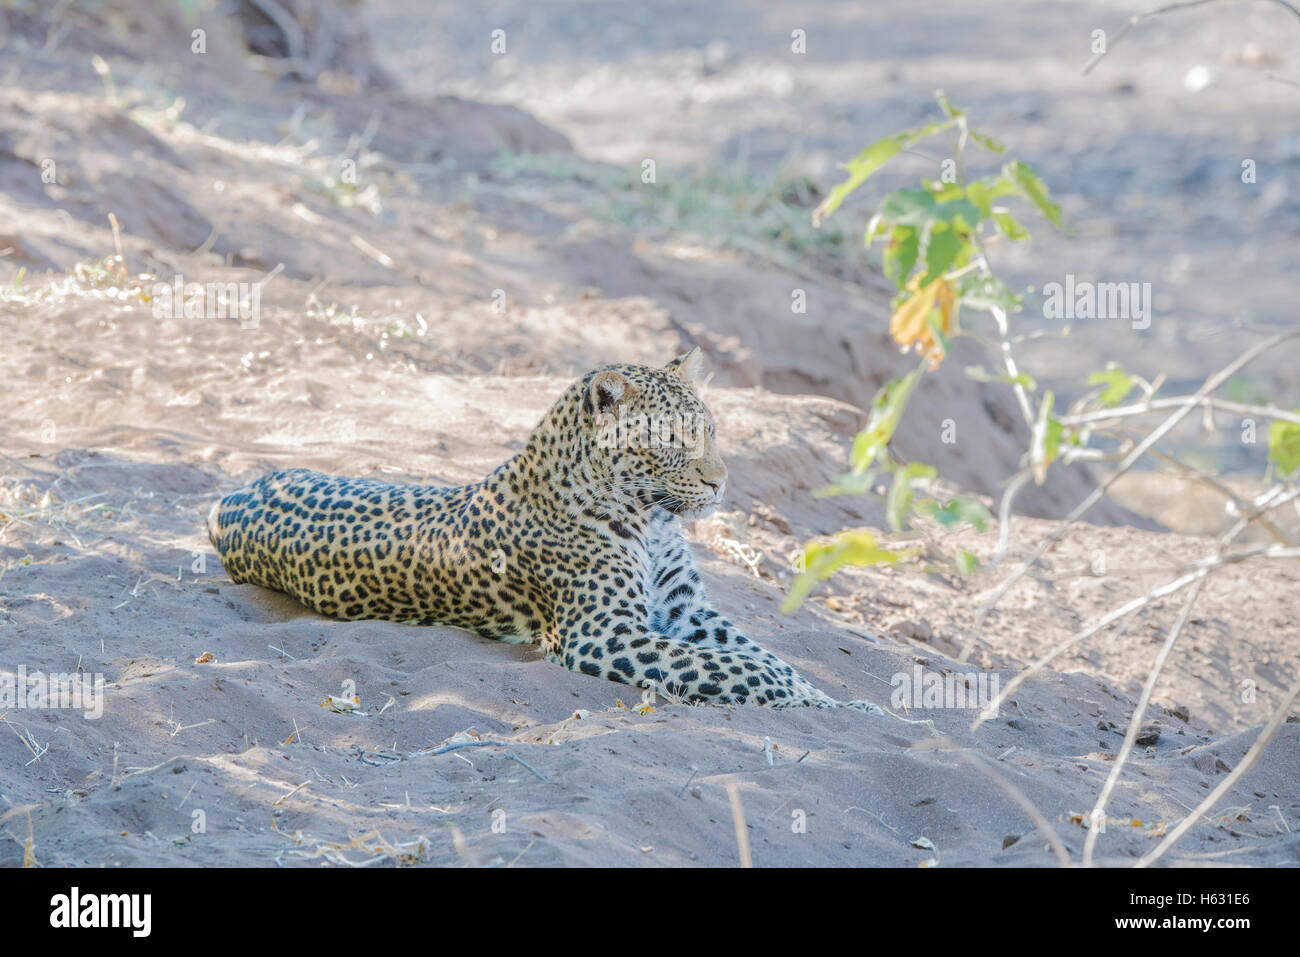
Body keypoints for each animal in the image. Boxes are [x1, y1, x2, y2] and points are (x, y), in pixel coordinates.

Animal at [207, 349, 882, 713]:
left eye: (711, 429)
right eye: (669, 439)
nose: (720, 483)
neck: (653, 520)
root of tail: (231, 496)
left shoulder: (687, 610)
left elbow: (760, 656)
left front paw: (837, 700)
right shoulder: (604, 633)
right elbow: (746, 668)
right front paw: (816, 702)